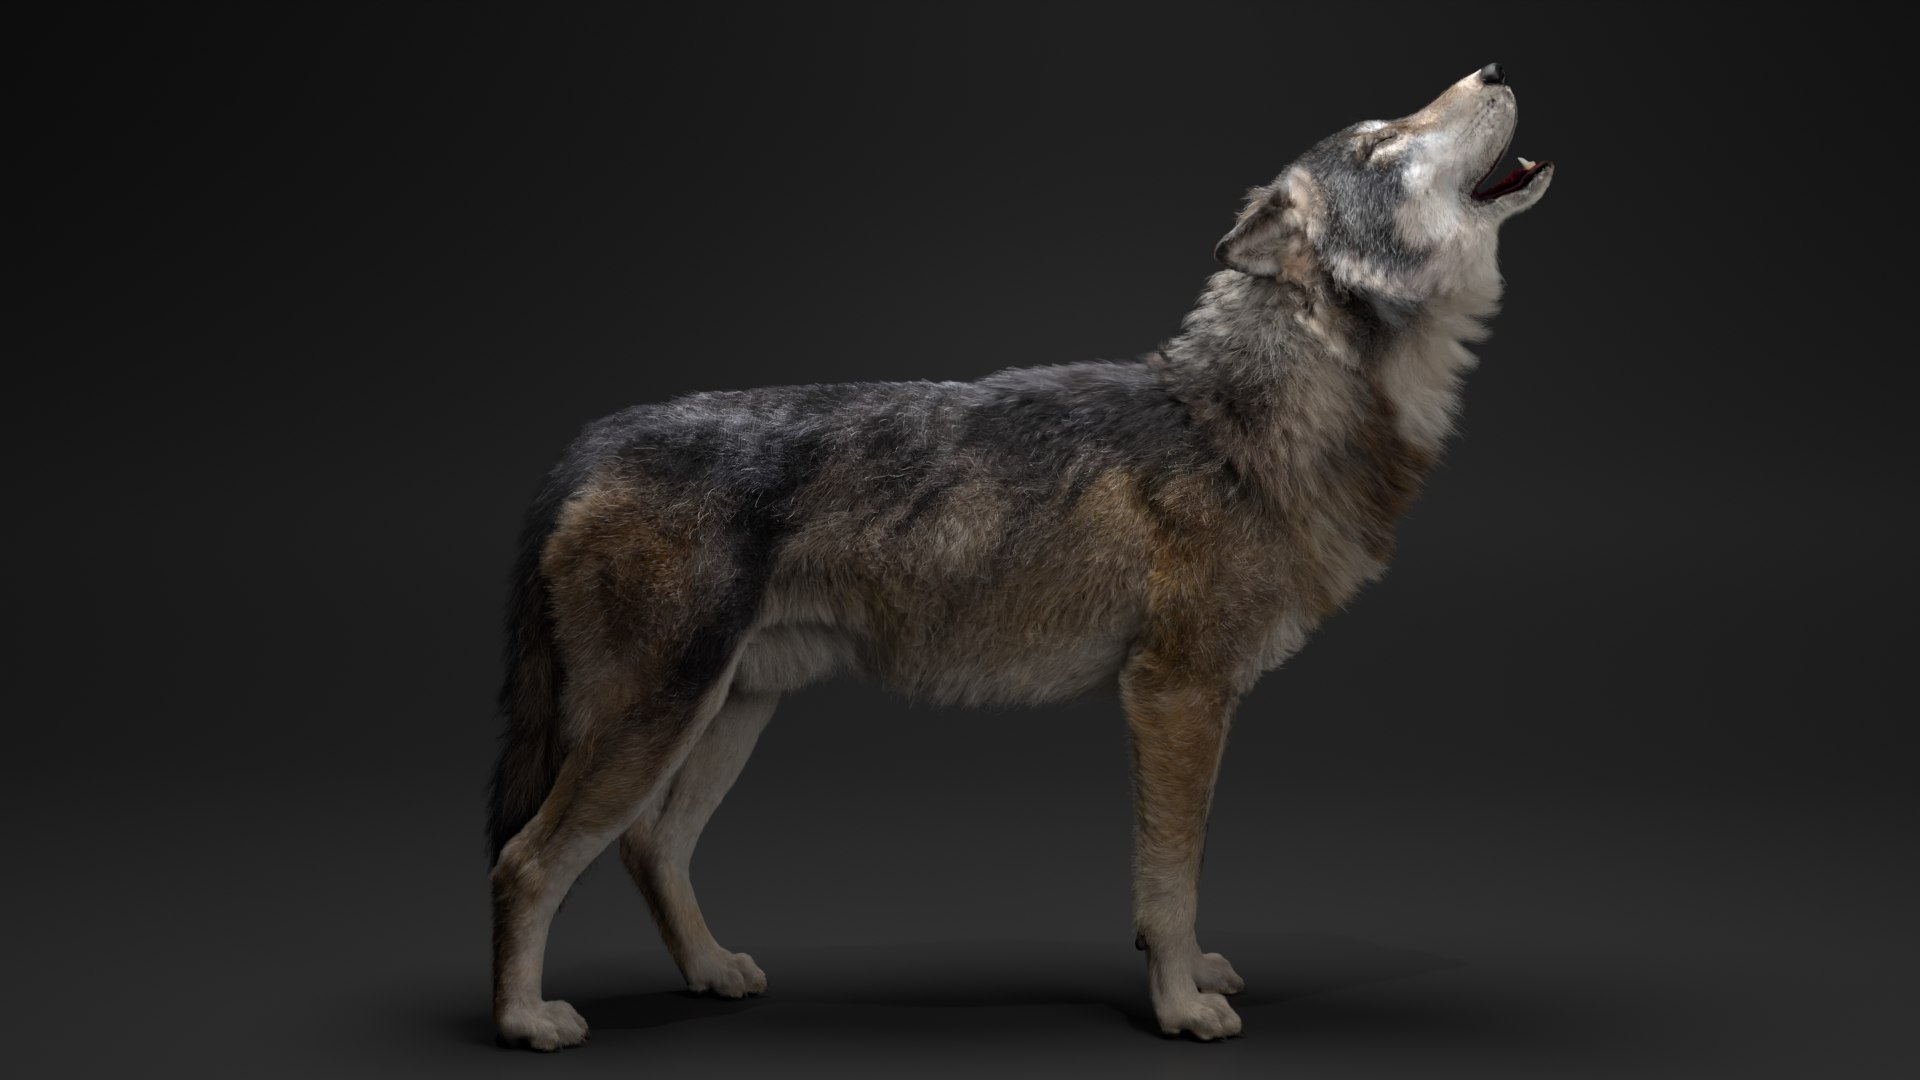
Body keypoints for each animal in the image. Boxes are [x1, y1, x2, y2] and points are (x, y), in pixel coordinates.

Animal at [486, 63, 1551, 1048]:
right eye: (1381, 143)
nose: (1494, 70)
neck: (1244, 423)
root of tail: (591, 443)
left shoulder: (1194, 704)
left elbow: (1179, 873)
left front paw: (1193, 971)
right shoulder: (1174, 694)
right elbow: (1171, 875)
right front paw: (1181, 1006)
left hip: (728, 716)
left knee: (651, 848)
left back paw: (711, 970)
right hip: (655, 720)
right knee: (528, 860)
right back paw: (525, 1020)